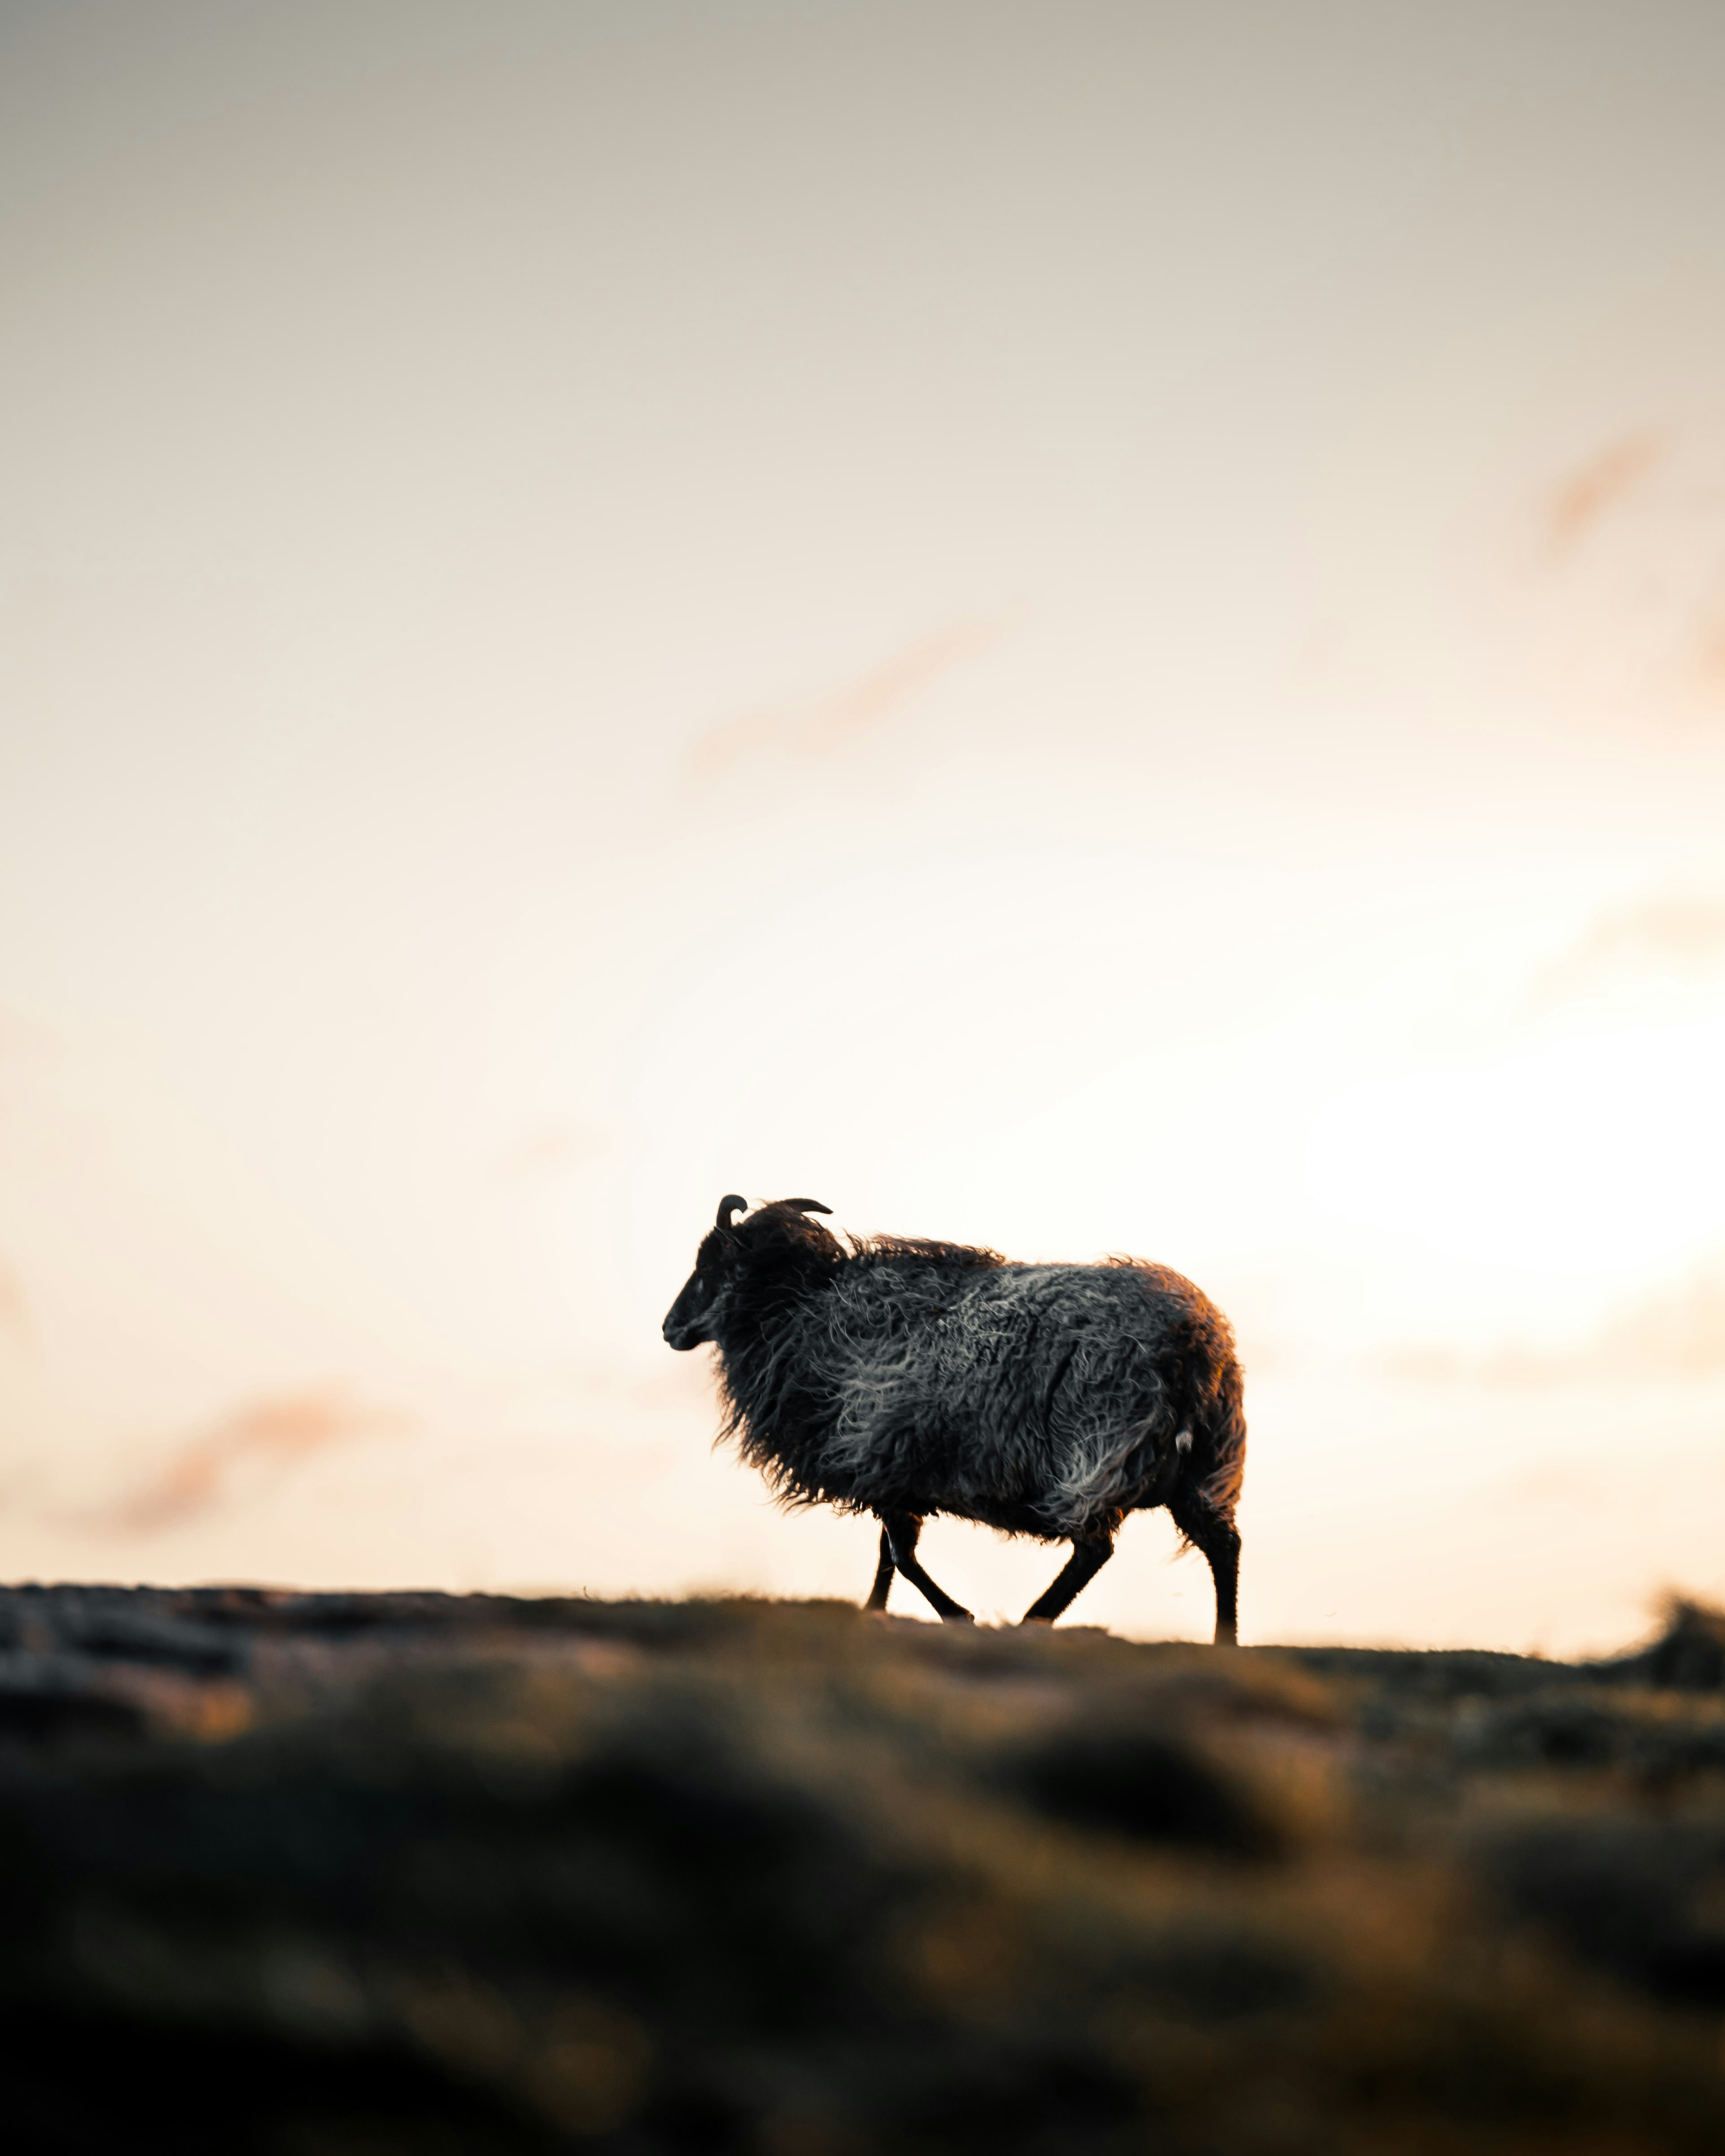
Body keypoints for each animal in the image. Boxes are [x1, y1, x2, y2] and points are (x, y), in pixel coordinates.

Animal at [662, 1196, 1246, 1641]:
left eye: (710, 1264)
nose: (669, 1328)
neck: (804, 1309)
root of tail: (1194, 1339)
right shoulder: (890, 1471)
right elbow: (889, 1556)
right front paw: (875, 1611)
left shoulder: (881, 1457)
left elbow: (899, 1556)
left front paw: (955, 1615)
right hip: (1203, 1472)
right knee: (1223, 1548)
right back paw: (1225, 1640)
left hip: (1094, 1453)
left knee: (1094, 1548)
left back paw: (1033, 1620)